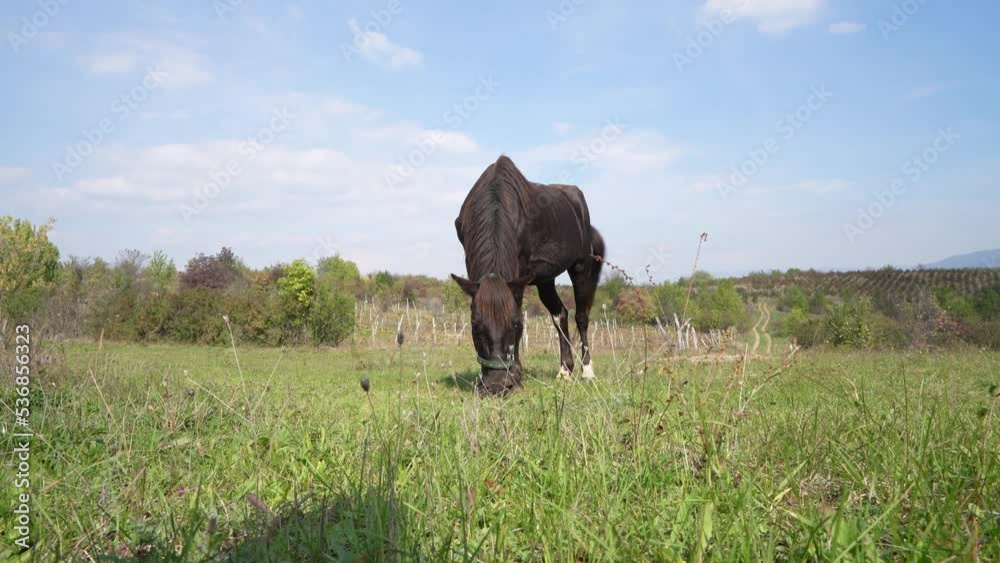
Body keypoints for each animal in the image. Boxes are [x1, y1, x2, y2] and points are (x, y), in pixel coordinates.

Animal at [451, 155, 605, 396]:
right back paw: (565, 370)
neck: (497, 199)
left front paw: (516, 374)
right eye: (475, 325)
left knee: (581, 317)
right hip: (545, 279)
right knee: (560, 314)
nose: (497, 385)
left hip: (581, 266)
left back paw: (587, 371)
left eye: (516, 324)